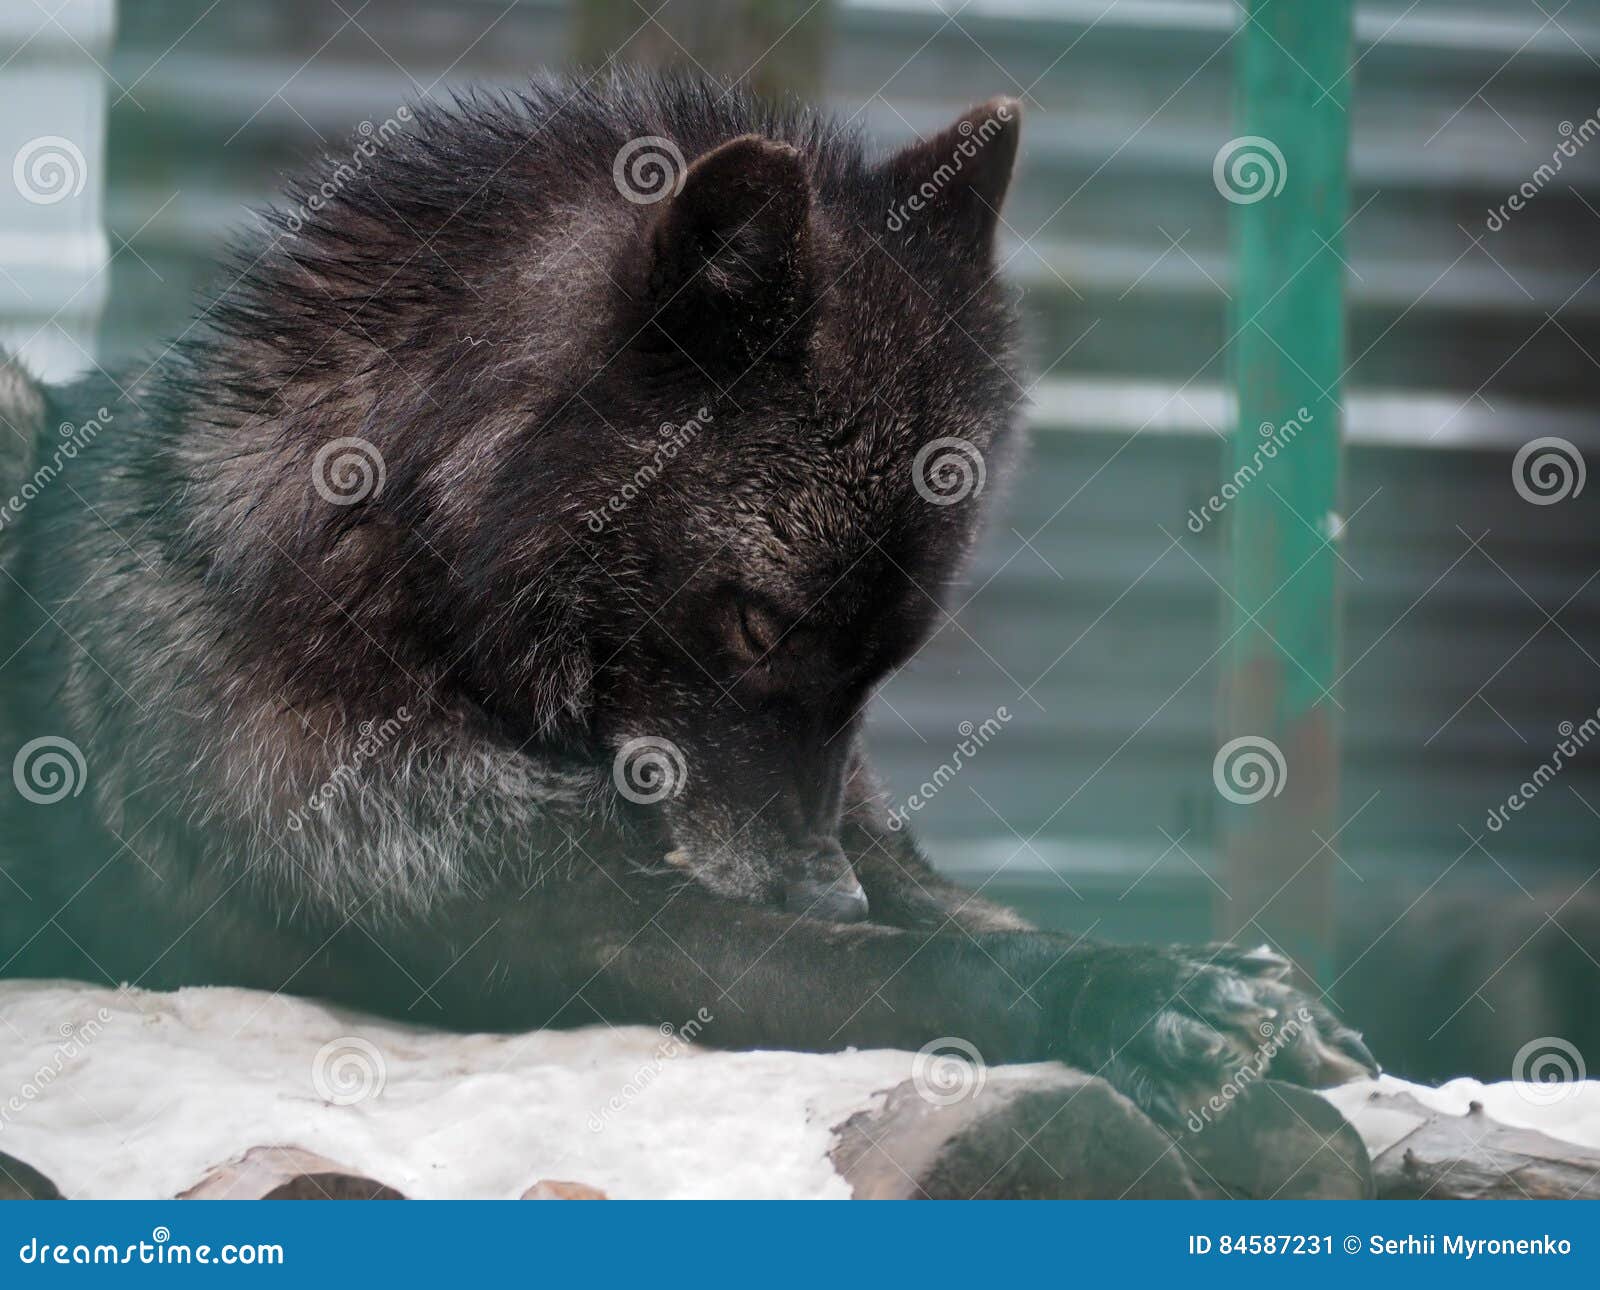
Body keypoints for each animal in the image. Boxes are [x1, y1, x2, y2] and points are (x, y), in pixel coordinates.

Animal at [0, 73, 1373, 1125]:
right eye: (759, 623)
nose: (826, 895)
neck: (405, 586)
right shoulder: (563, 923)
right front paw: (1139, 1002)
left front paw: (1205, 973)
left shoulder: (850, 833)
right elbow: (917, 964)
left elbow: (965, 910)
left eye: (887, 660)